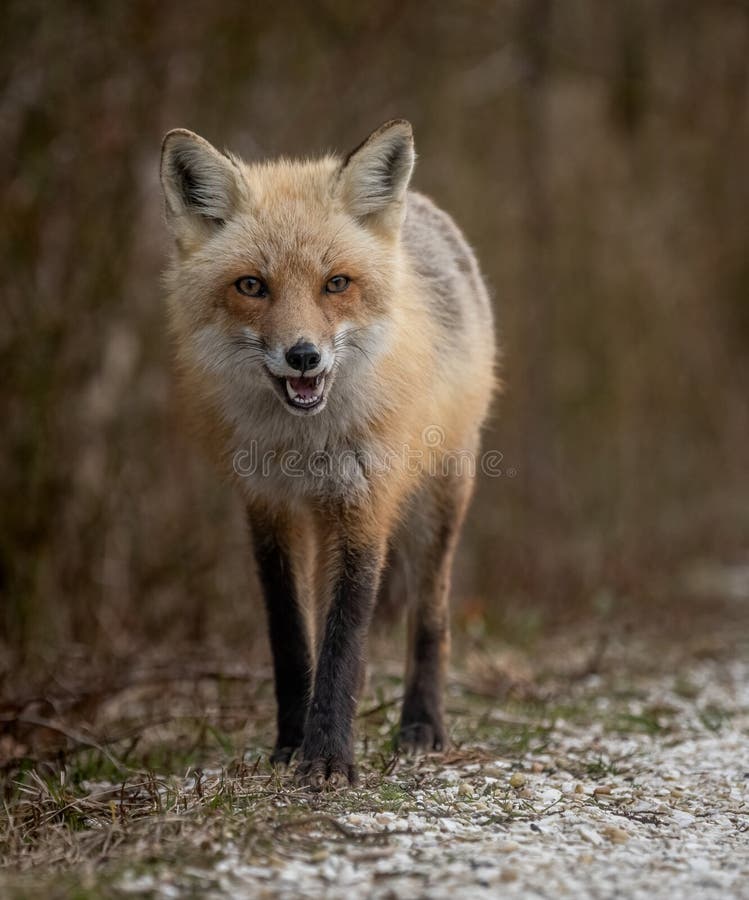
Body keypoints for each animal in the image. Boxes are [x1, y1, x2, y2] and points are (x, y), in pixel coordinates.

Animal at [159, 120, 496, 789]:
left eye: (335, 283)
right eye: (252, 286)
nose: (303, 356)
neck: (305, 445)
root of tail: (423, 206)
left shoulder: (362, 505)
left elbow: (344, 639)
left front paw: (329, 759)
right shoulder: (268, 508)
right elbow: (294, 636)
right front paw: (292, 744)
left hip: (440, 501)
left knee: (431, 616)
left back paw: (422, 725)